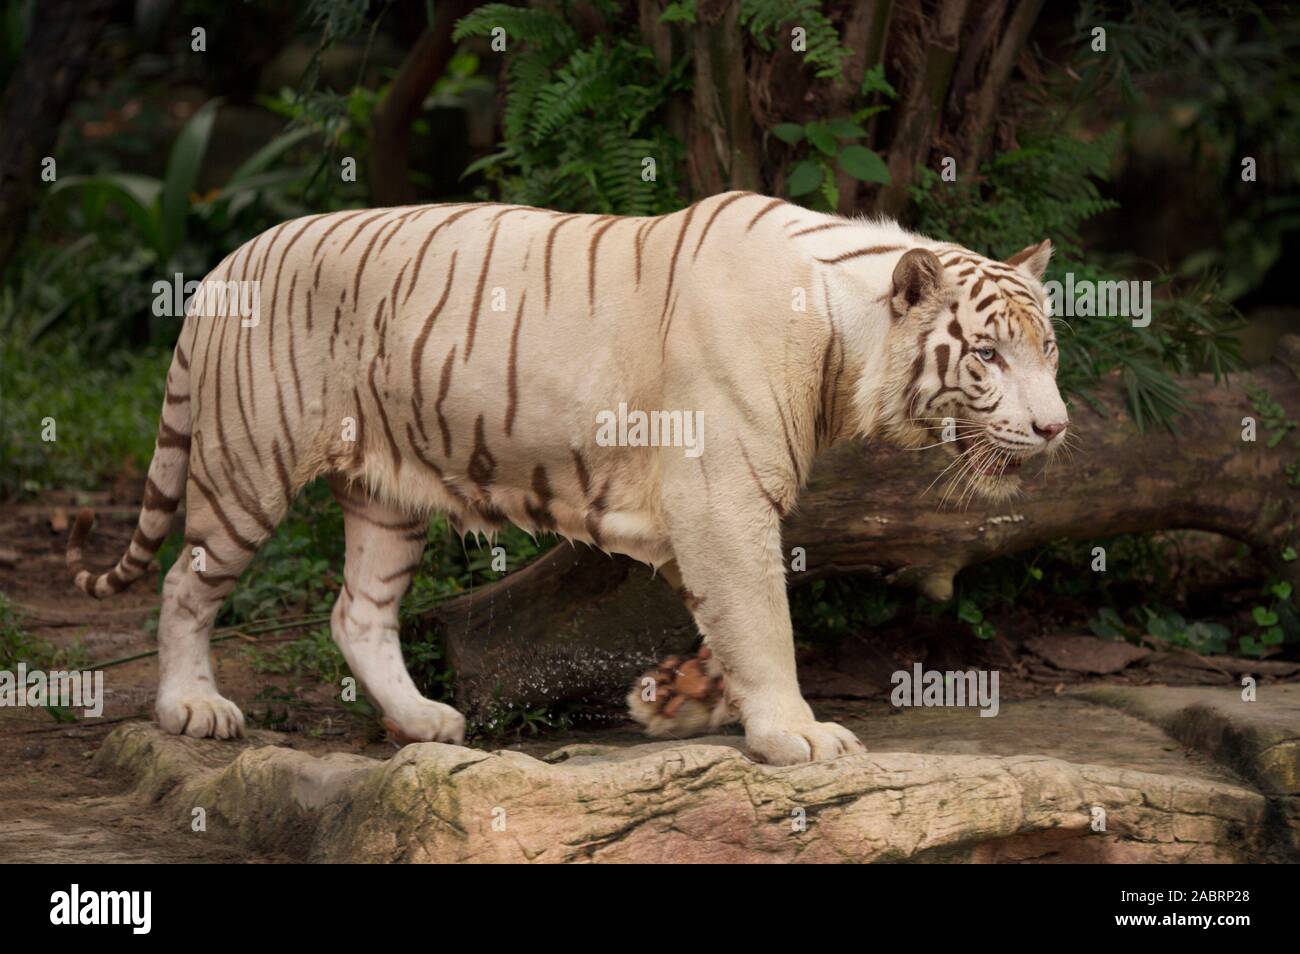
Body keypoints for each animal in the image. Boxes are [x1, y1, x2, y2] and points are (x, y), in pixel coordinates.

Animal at [65, 190, 1066, 765]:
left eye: (1049, 351)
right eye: (987, 355)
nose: (1056, 427)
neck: (842, 343)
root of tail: (224, 263)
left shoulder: (704, 509)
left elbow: (723, 623)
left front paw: (679, 701)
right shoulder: (724, 496)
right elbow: (764, 623)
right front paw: (797, 733)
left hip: (388, 495)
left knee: (358, 612)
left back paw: (424, 723)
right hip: (249, 468)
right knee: (183, 587)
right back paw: (194, 708)